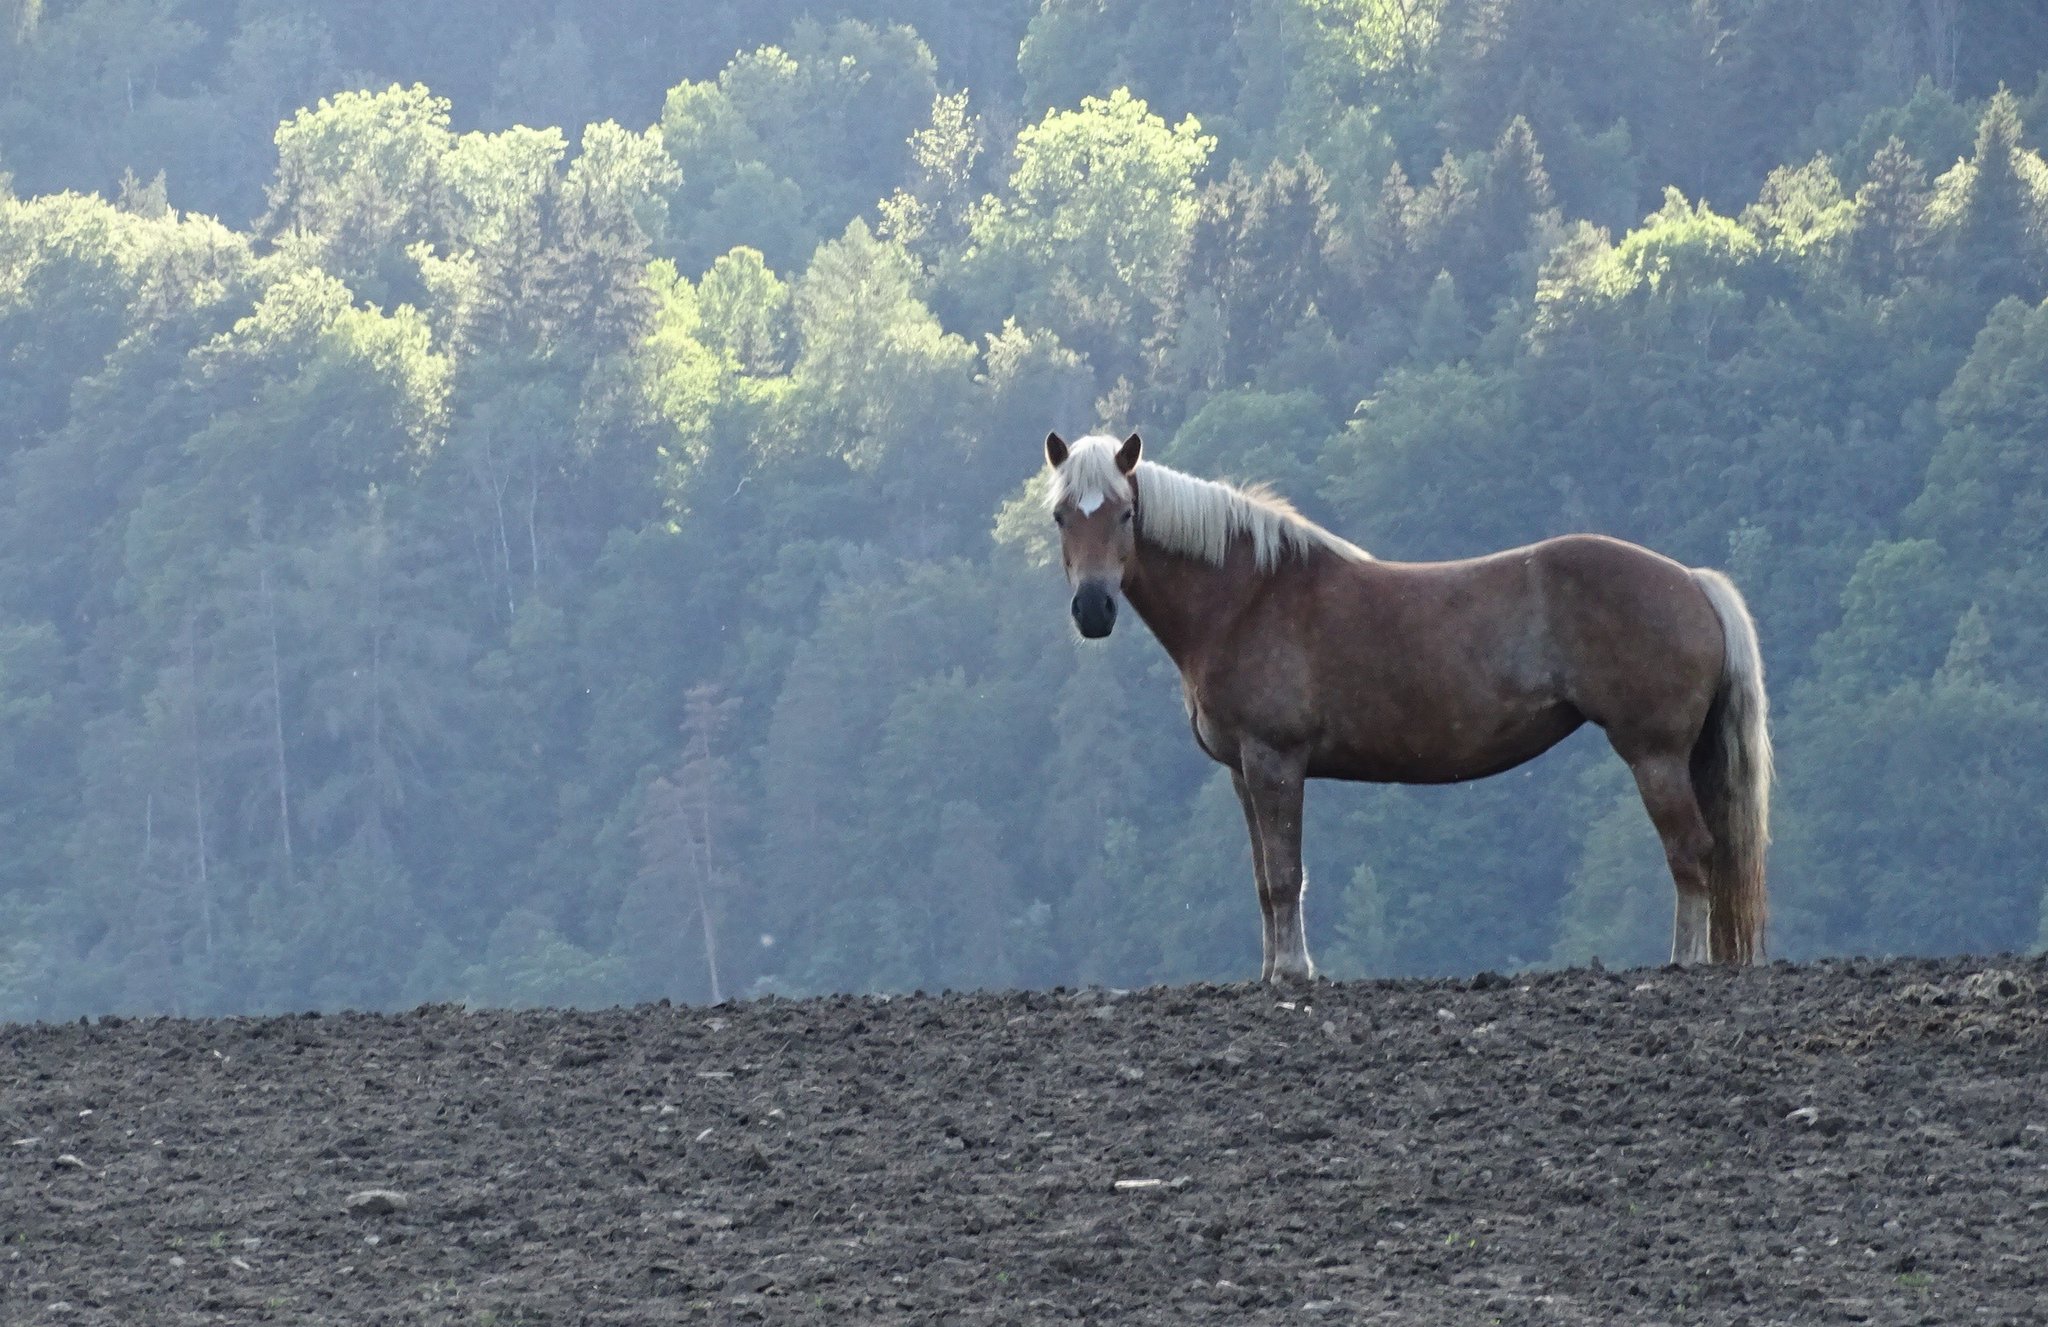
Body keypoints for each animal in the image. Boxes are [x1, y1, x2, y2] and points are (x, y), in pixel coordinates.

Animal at [1042, 431, 1771, 983]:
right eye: (1061, 516)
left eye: (1125, 513)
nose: (1093, 608)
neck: (1247, 596)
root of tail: (1693, 583)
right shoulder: (1242, 772)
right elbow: (1262, 878)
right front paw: (1271, 971)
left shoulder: (1275, 761)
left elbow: (1284, 874)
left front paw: (1295, 973)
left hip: (1654, 755)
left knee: (1690, 851)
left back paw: (1683, 962)